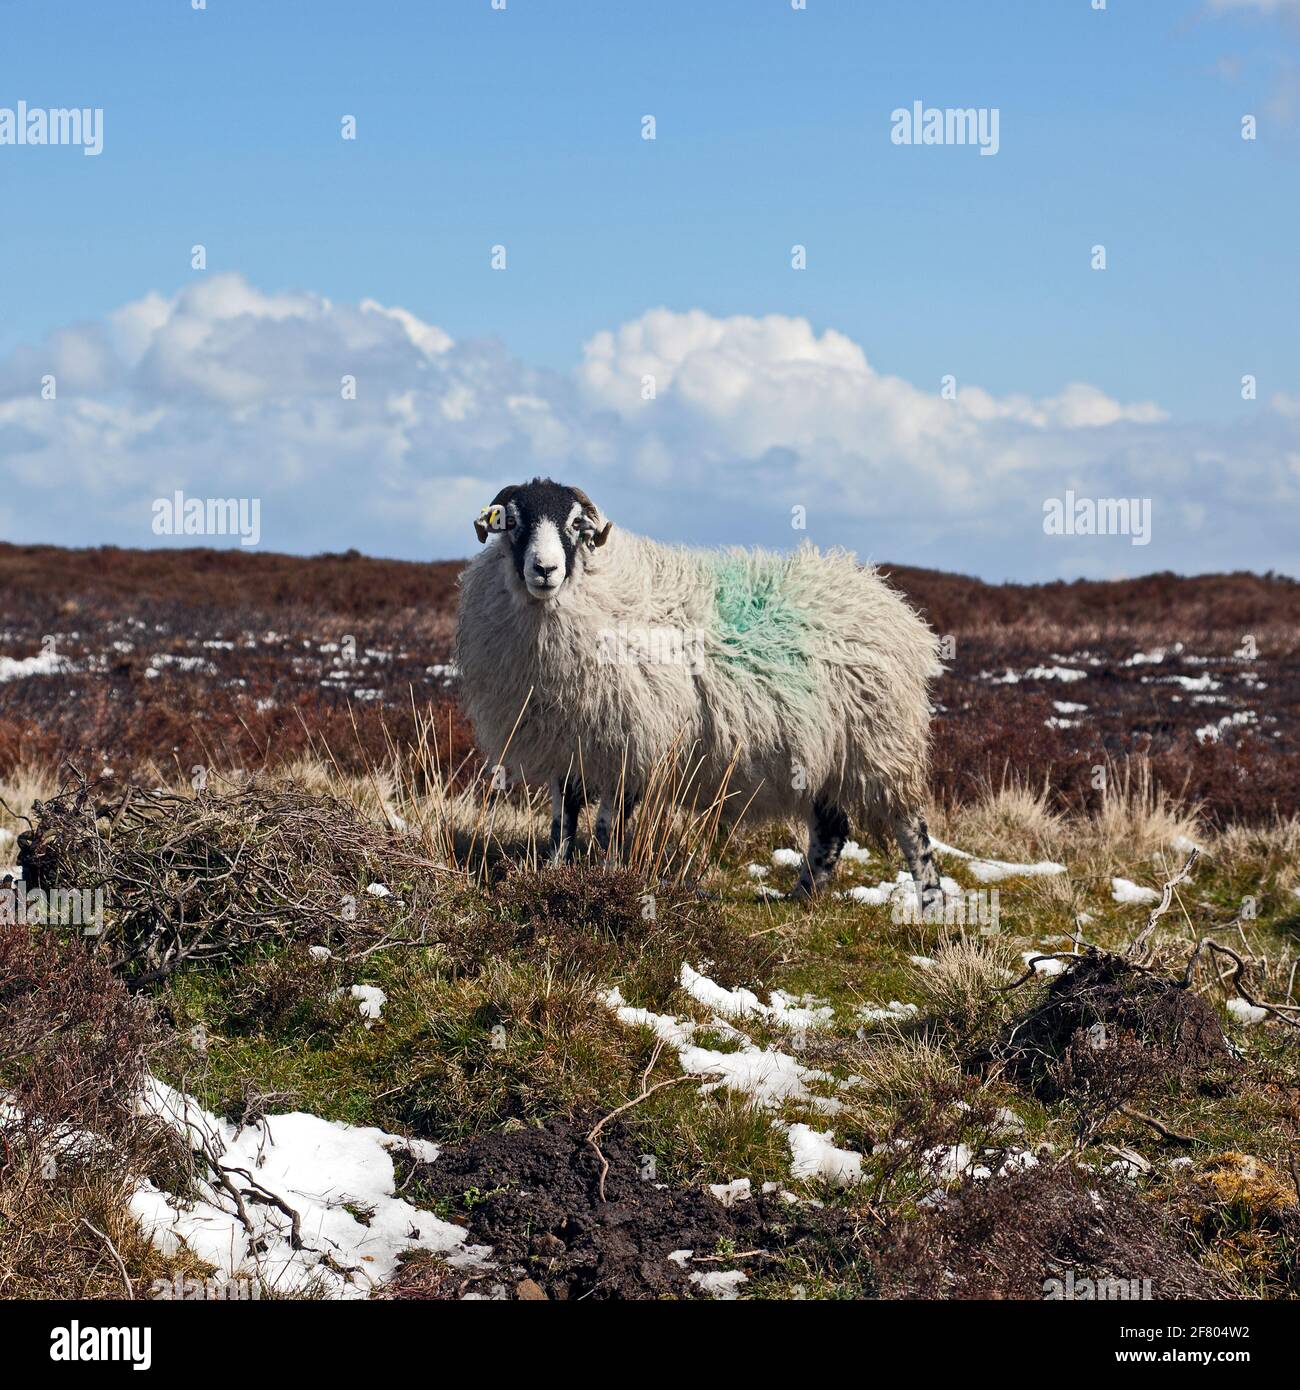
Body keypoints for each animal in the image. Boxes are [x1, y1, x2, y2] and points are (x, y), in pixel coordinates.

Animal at [454, 477, 944, 905]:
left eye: (577, 524)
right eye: (513, 522)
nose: (545, 570)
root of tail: (884, 599)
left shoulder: (636, 741)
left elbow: (608, 828)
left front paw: (608, 881)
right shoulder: (568, 741)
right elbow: (563, 821)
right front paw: (553, 875)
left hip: (881, 745)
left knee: (911, 830)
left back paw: (932, 907)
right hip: (825, 753)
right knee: (831, 828)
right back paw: (802, 897)